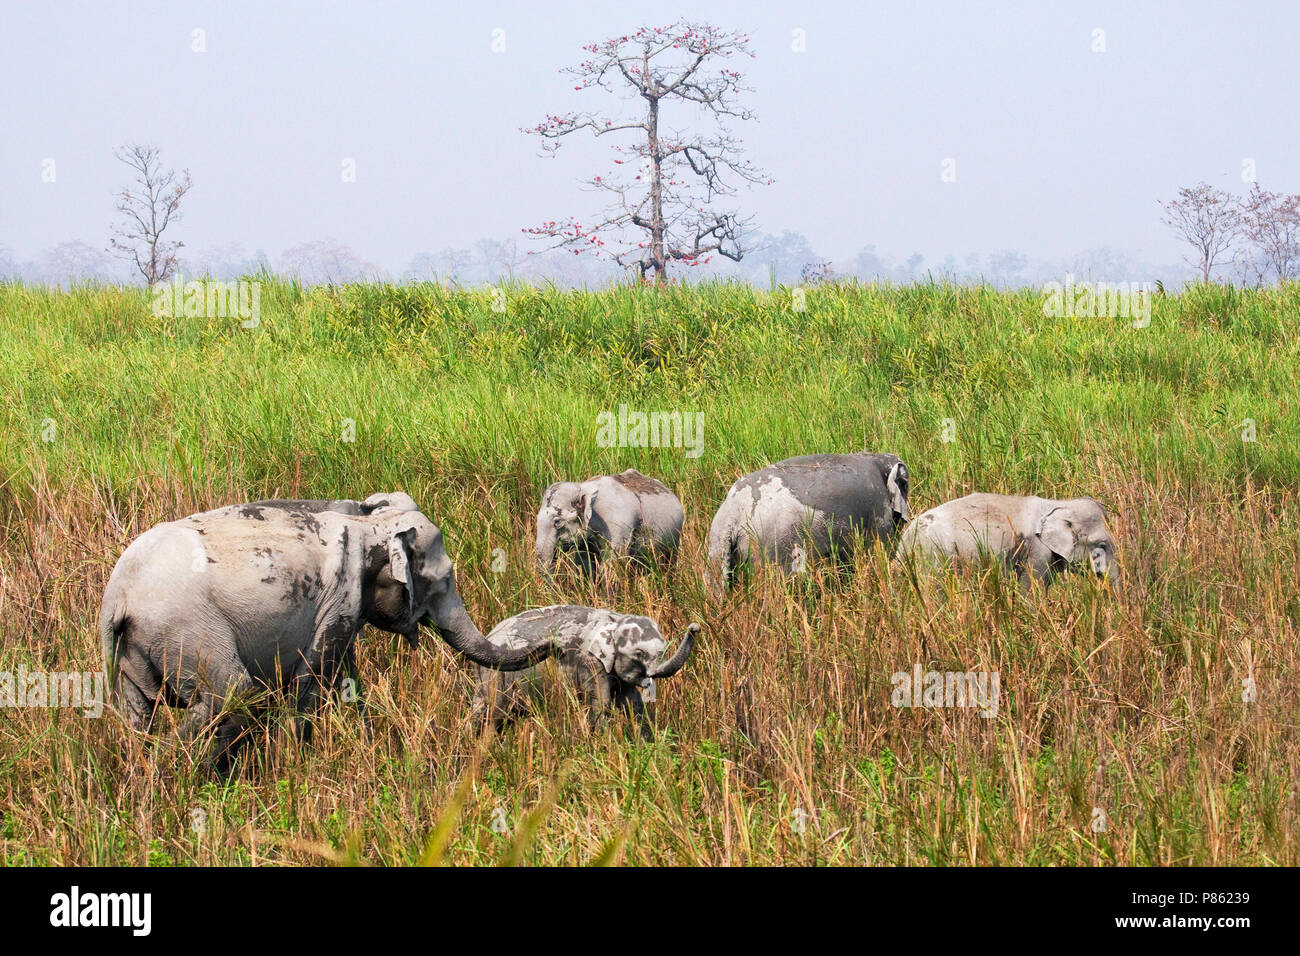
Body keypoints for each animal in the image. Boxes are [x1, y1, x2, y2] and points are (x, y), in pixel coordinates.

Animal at [99, 502, 559, 759]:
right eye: (442, 581)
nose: (550, 645)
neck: (369, 526)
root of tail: (118, 595)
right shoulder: (339, 597)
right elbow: (313, 682)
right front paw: (295, 759)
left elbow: (346, 680)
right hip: (188, 629)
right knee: (235, 694)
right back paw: (177, 770)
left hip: (137, 647)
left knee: (136, 711)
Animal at [469, 606, 698, 739]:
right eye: (639, 653)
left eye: (664, 647)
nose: (694, 627)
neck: (613, 621)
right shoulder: (589, 663)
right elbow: (601, 705)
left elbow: (633, 705)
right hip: (492, 676)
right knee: (490, 712)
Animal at [535, 469, 684, 578]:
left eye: (557, 522)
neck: (583, 487)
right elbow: (585, 564)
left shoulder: (619, 528)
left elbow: (611, 566)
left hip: (674, 538)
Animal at [706, 452, 910, 593]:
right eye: (906, 485)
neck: (875, 457)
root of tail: (734, 512)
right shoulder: (878, 510)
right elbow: (879, 556)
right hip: (774, 546)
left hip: (717, 546)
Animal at [895, 493, 1118, 588]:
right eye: (1102, 546)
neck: (1057, 504)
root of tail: (906, 540)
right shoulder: (1036, 551)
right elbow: (1030, 591)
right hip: (934, 561)